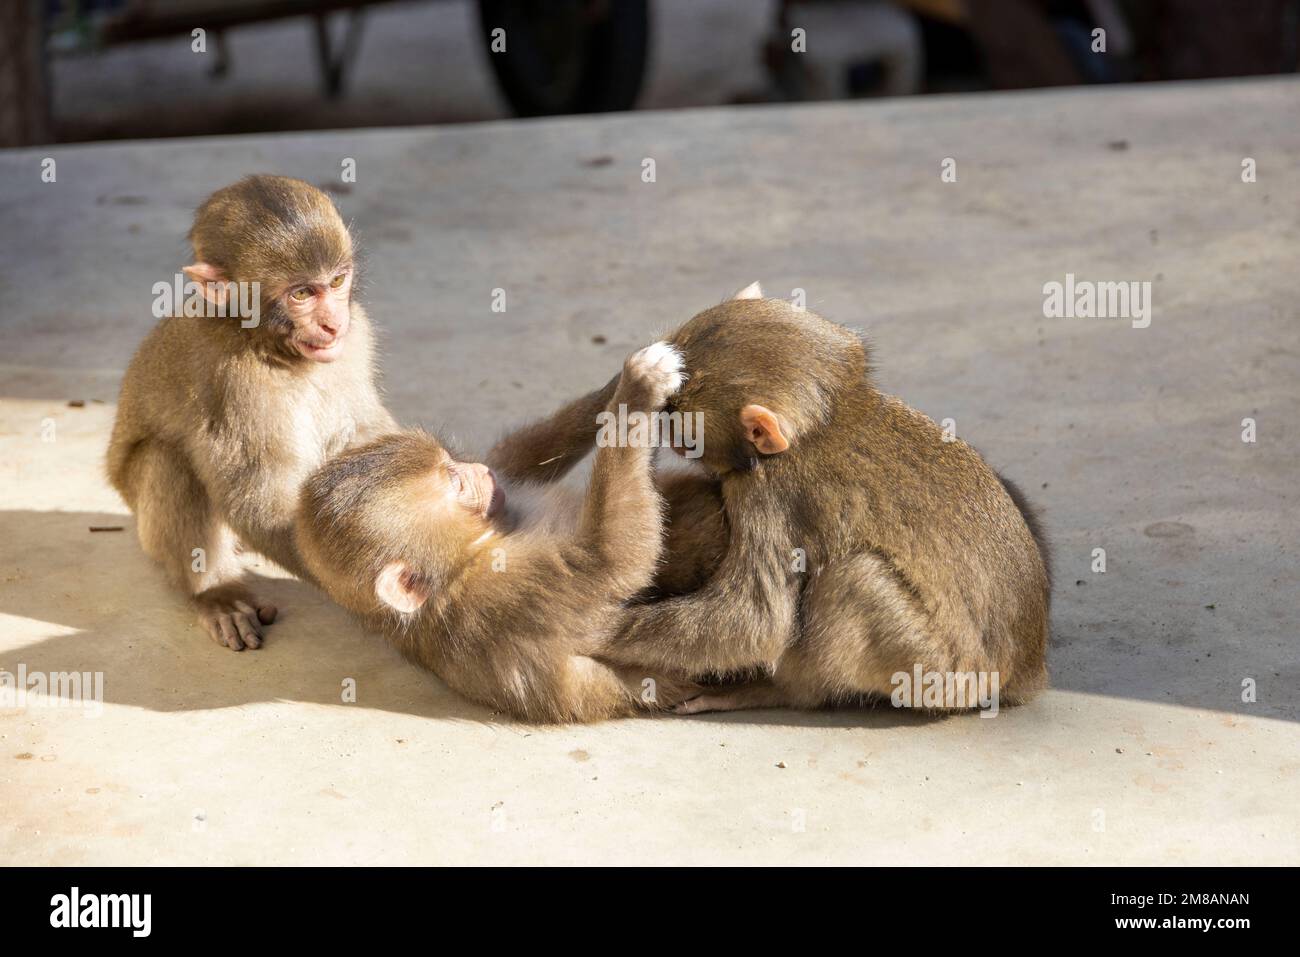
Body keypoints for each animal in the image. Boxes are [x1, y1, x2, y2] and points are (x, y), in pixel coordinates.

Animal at [107, 175, 396, 651]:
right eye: (302, 293)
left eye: (337, 281)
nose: (333, 323)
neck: (263, 341)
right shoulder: (235, 382)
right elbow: (257, 502)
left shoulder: (357, 333)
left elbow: (359, 436)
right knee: (167, 462)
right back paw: (215, 592)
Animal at [293, 342, 706, 723]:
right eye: (456, 481)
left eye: (453, 463)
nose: (480, 470)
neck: (470, 555)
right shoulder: (498, 592)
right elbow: (613, 557)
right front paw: (638, 387)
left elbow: (522, 459)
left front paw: (616, 385)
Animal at [600, 283, 1051, 714]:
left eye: (680, 427)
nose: (673, 441)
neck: (824, 419)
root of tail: (1025, 671)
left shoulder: (768, 494)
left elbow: (754, 622)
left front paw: (600, 629)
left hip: (940, 676)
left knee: (854, 577)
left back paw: (783, 691)